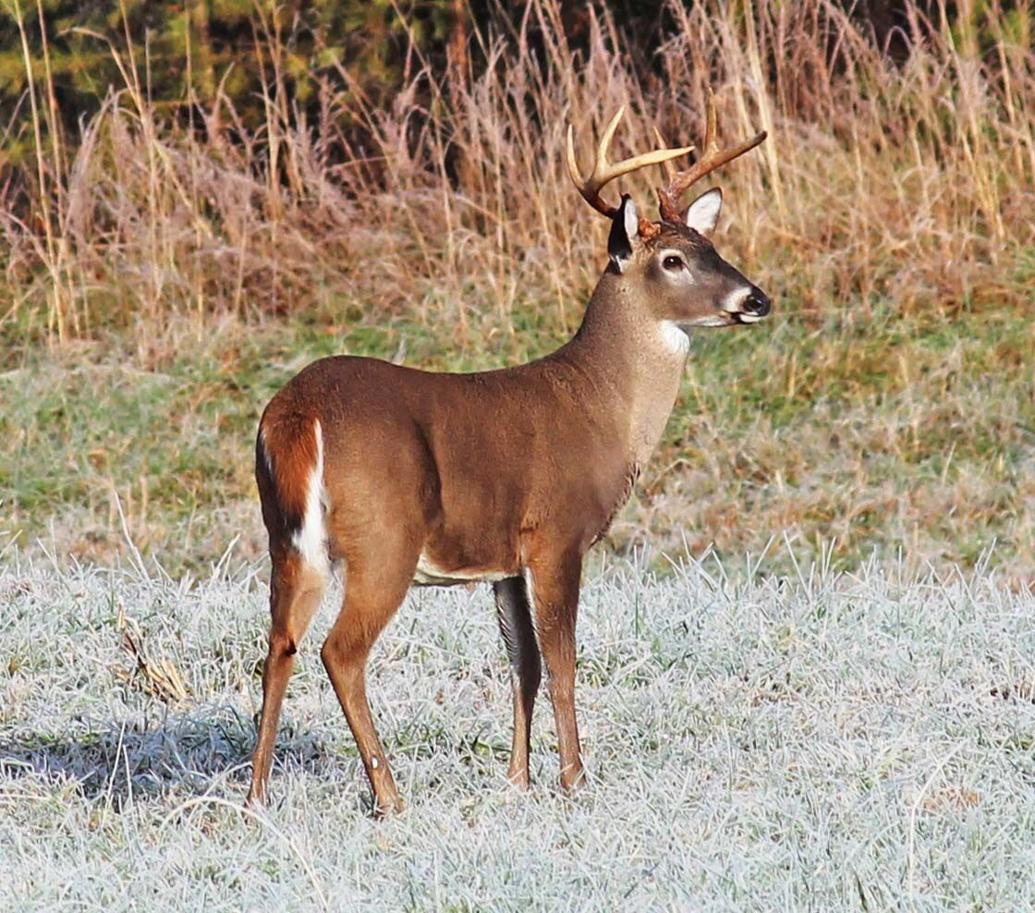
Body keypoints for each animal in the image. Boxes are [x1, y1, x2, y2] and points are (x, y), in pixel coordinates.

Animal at [247, 97, 771, 814]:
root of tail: (299, 414)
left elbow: (520, 659)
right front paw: (574, 778)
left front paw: (518, 779)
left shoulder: (503, 557)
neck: (599, 406)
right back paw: (389, 795)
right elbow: (562, 659)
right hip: (384, 537)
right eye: (671, 259)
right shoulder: (557, 533)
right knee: (340, 650)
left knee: (278, 644)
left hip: (287, 538)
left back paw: (256, 795)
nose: (756, 298)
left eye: (711, 248)